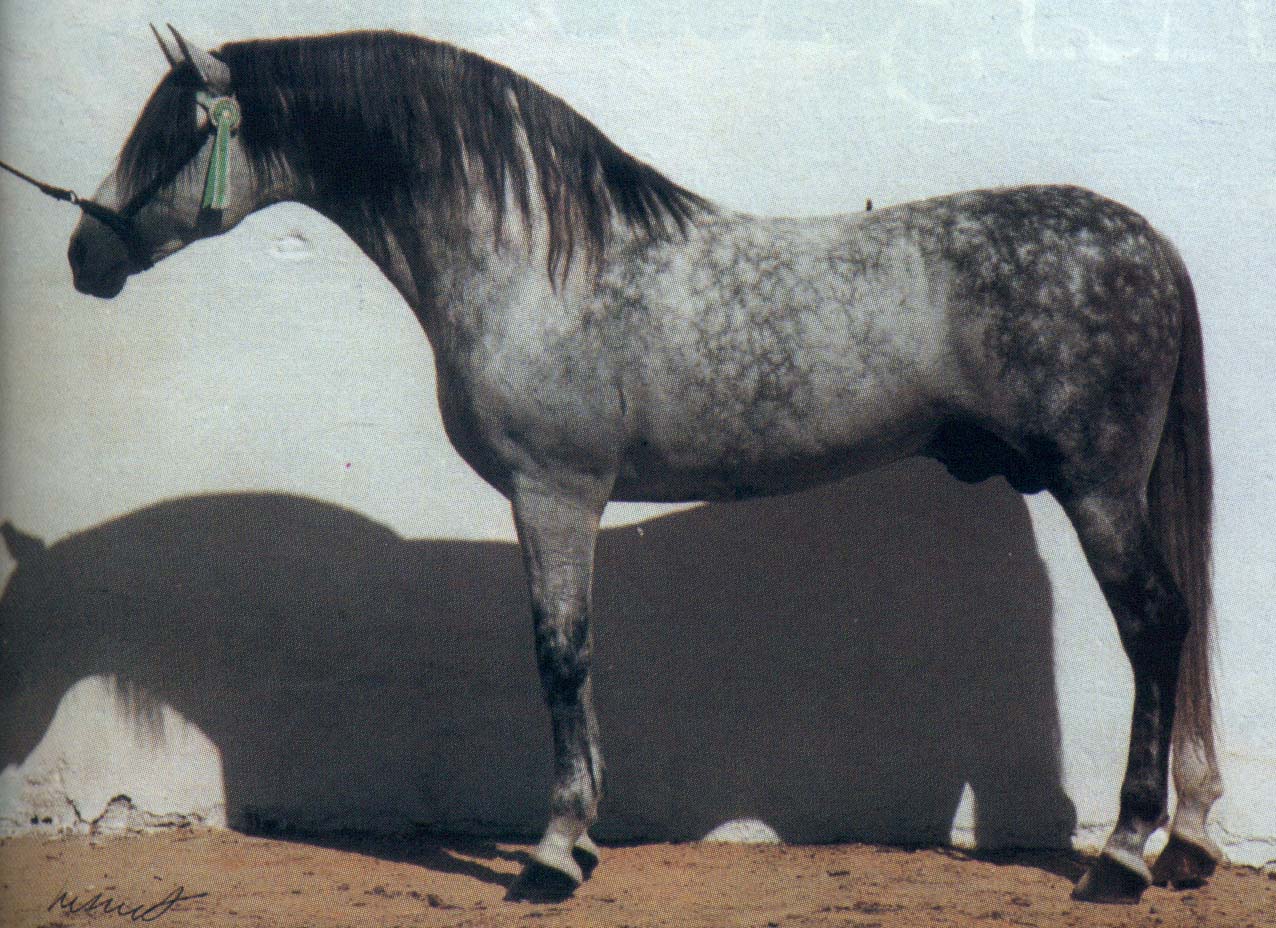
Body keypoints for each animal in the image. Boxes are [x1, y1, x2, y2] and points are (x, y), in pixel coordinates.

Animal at [66, 27, 1221, 905]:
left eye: (169, 135)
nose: (85, 254)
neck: (535, 261)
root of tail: (1147, 243)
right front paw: (577, 842)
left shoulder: (554, 492)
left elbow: (560, 655)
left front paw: (551, 855)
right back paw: (1191, 842)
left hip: (1097, 489)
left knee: (1155, 625)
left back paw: (1124, 859)